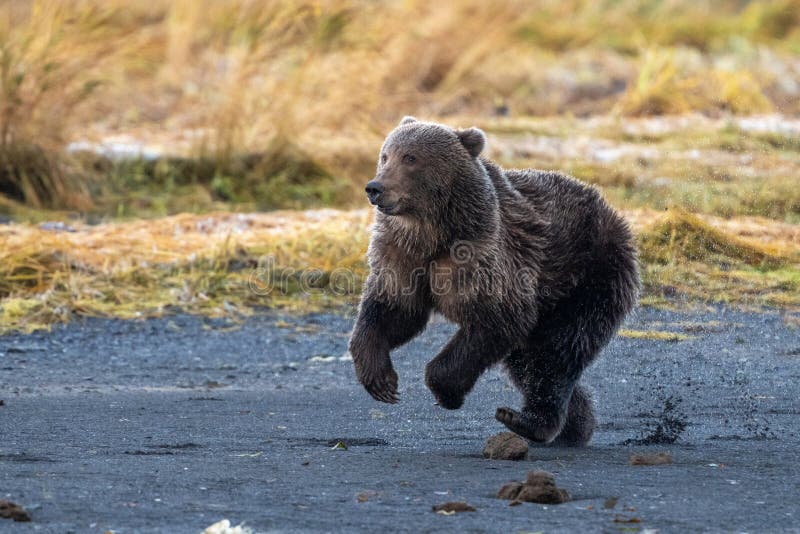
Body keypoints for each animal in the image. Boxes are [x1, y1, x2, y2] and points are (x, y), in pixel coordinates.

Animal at [348, 116, 639, 446]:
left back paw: (528, 421)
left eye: (410, 158)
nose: (375, 187)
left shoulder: (486, 257)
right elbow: (394, 309)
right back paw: (576, 423)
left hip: (590, 275)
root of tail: (610, 209)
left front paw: (446, 392)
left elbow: (498, 318)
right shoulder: (402, 255)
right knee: (532, 360)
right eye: (385, 155)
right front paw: (381, 380)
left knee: (557, 351)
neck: (432, 231)